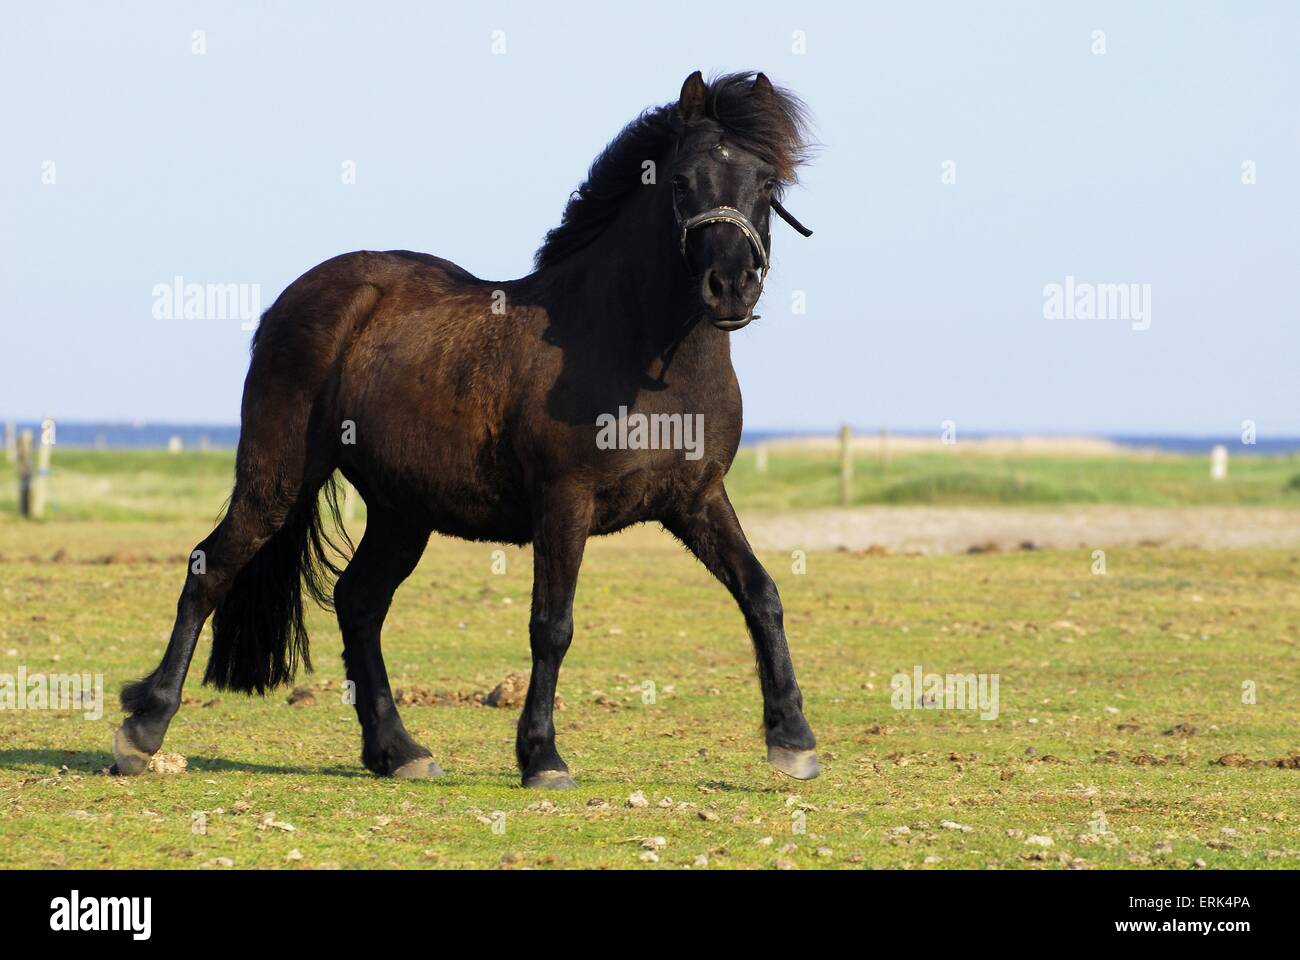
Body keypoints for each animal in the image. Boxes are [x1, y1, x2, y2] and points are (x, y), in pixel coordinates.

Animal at [113, 70, 820, 788]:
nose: (730, 285)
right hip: (278, 477)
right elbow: (552, 625)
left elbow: (762, 593)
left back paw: (398, 749)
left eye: (766, 183)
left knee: (358, 601)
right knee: (212, 568)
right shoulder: (564, 503)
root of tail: (297, 299)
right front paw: (542, 757)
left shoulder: (696, 499)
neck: (642, 357)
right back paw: (143, 729)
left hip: (401, 510)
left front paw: (793, 738)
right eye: (681, 181)